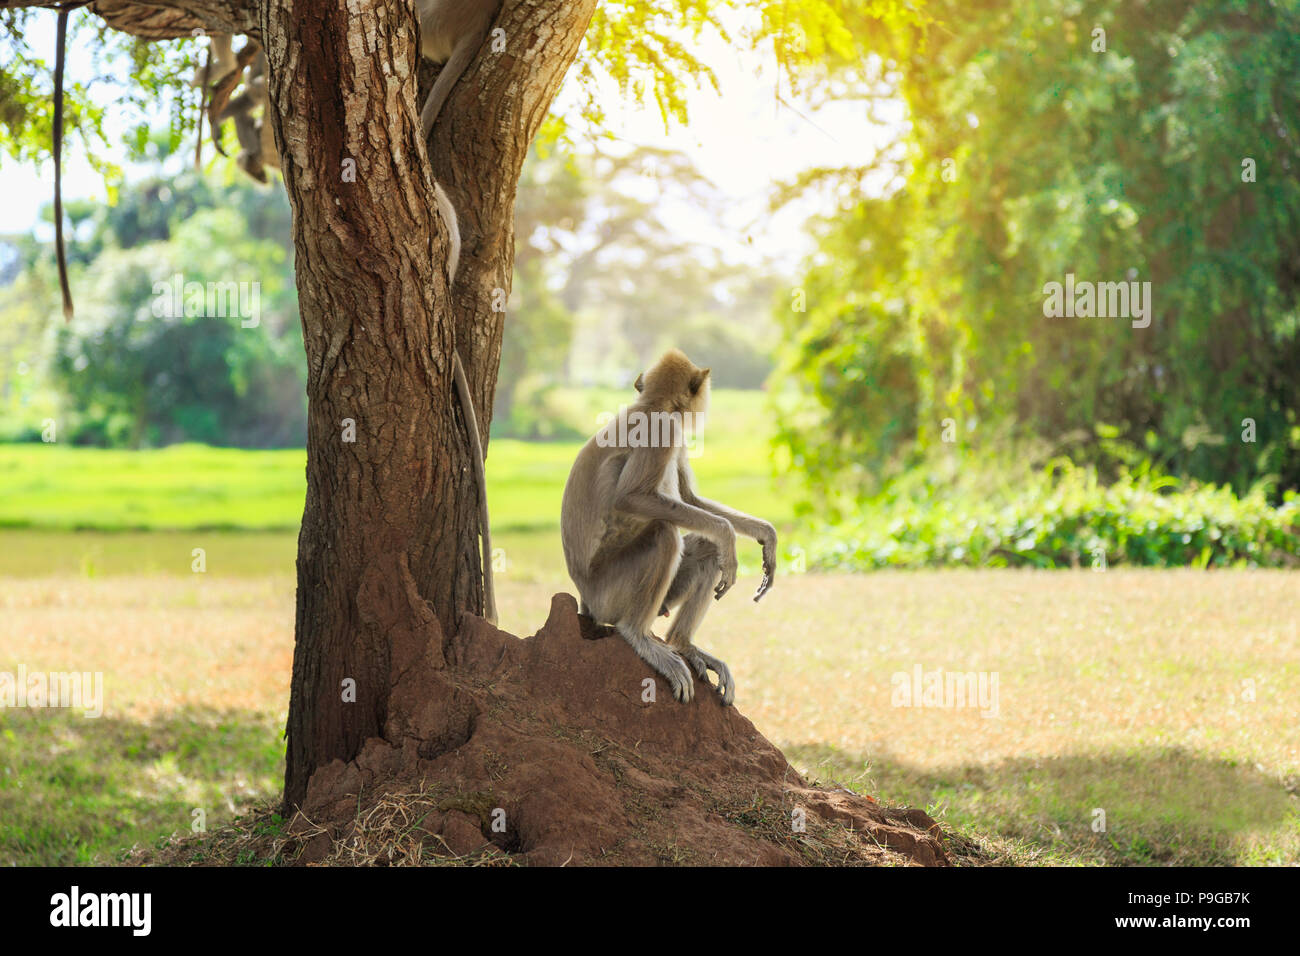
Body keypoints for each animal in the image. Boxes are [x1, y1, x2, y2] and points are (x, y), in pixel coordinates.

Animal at [560, 350, 777, 704]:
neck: (650, 405)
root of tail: (586, 599)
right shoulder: (661, 430)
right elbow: (630, 498)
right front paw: (728, 534)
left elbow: (690, 498)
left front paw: (765, 534)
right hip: (610, 594)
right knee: (664, 534)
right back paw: (638, 636)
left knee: (706, 548)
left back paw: (682, 644)